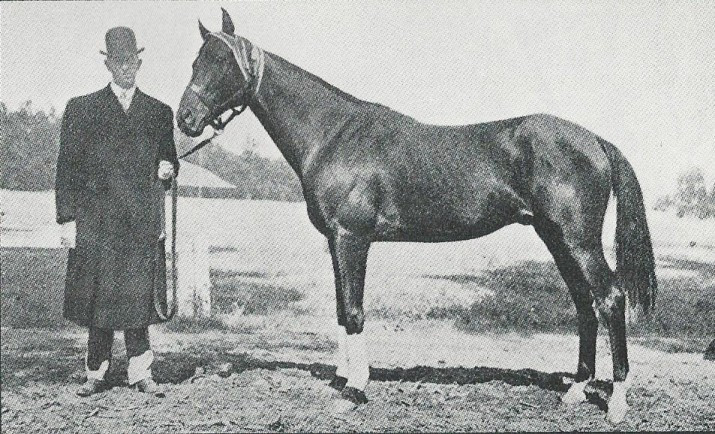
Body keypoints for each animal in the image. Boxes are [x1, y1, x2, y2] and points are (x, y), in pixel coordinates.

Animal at [177, 9, 657, 424]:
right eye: (197, 60)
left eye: (222, 62)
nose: (186, 118)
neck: (333, 135)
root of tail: (594, 140)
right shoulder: (334, 240)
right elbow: (340, 309)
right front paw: (341, 379)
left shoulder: (351, 237)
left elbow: (354, 310)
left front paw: (355, 389)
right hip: (555, 238)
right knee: (584, 303)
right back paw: (575, 390)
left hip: (578, 240)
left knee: (610, 298)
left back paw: (617, 402)